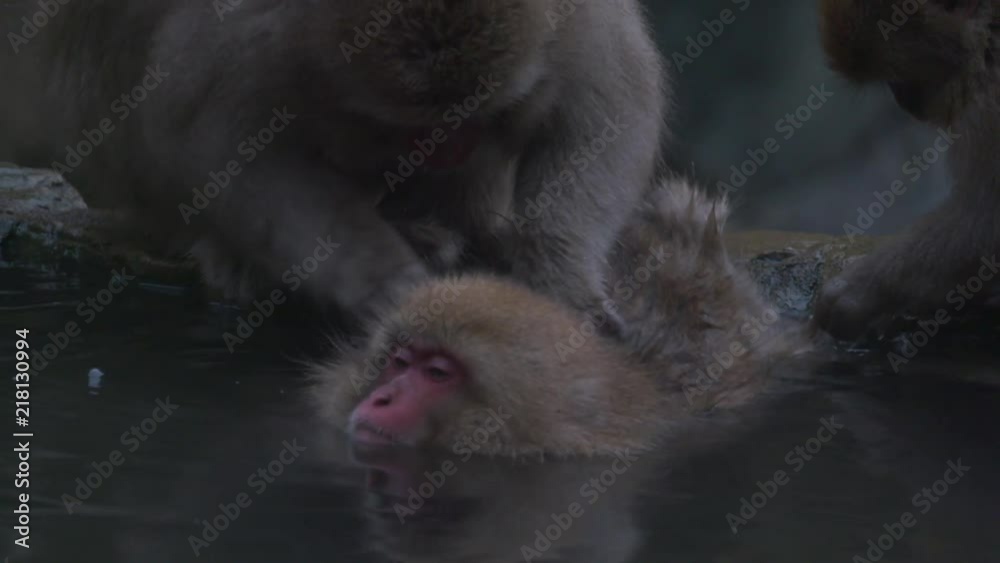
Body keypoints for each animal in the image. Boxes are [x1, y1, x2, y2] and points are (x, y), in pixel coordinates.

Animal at [0, 0, 666, 321]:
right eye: (410, 127)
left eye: (473, 118)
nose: (449, 149)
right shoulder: (242, 37)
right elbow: (216, 148)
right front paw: (386, 280)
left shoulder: (571, 17)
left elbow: (608, 108)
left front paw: (562, 279)